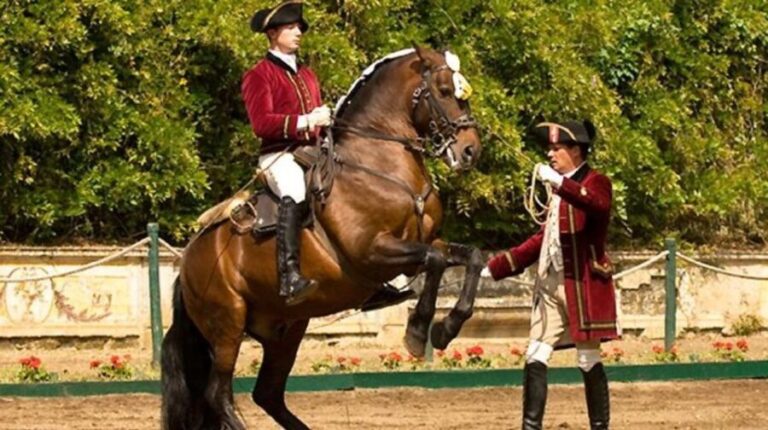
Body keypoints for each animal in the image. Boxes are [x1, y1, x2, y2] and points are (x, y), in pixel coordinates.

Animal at [161, 45, 484, 430]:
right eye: (445, 91)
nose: (470, 150)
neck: (381, 163)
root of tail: (188, 261)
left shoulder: (423, 244)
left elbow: (471, 257)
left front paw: (447, 327)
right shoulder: (373, 252)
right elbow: (435, 261)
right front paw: (418, 331)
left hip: (285, 330)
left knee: (267, 394)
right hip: (227, 326)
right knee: (218, 394)